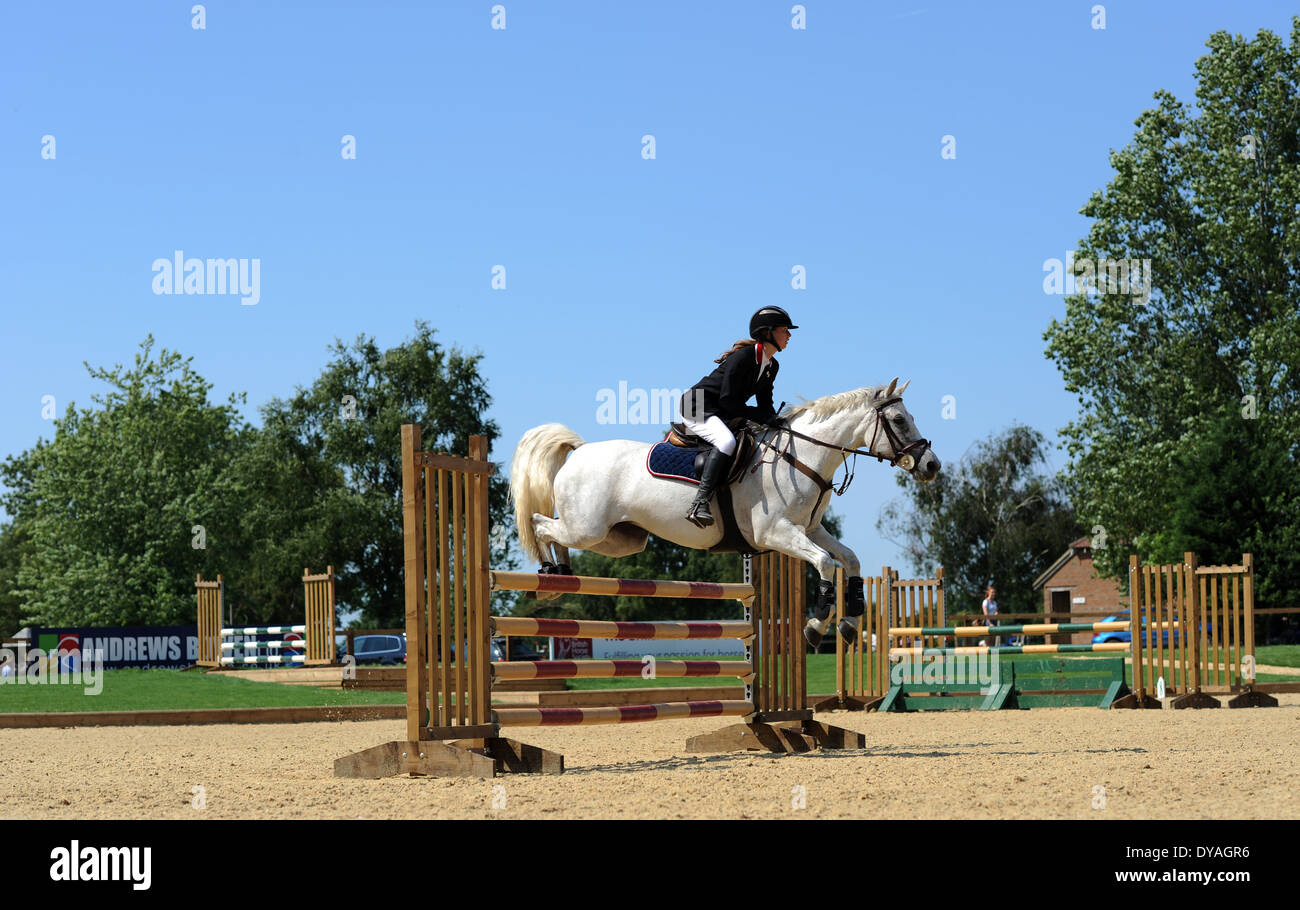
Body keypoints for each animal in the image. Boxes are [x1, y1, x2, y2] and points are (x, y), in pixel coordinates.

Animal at [510, 378, 940, 646]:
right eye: (899, 420)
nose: (931, 465)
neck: (800, 457)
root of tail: (580, 450)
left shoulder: (810, 529)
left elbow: (849, 560)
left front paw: (850, 622)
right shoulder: (776, 533)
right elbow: (824, 564)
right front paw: (817, 625)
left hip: (620, 539)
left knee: (556, 531)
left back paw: (561, 576)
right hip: (588, 527)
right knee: (541, 525)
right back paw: (551, 574)